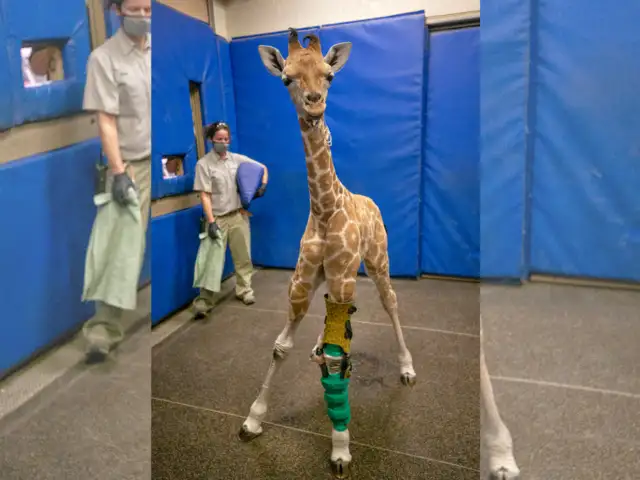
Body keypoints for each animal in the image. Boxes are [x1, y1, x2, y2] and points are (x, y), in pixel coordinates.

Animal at [237, 28, 416, 478]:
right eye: (286, 78)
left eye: (329, 75)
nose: (315, 102)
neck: (324, 209)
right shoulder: (302, 282)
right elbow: (281, 347)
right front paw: (252, 420)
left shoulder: (342, 275)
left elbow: (340, 359)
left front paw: (340, 449)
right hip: (334, 278)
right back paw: (317, 349)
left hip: (376, 262)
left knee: (391, 302)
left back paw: (407, 369)